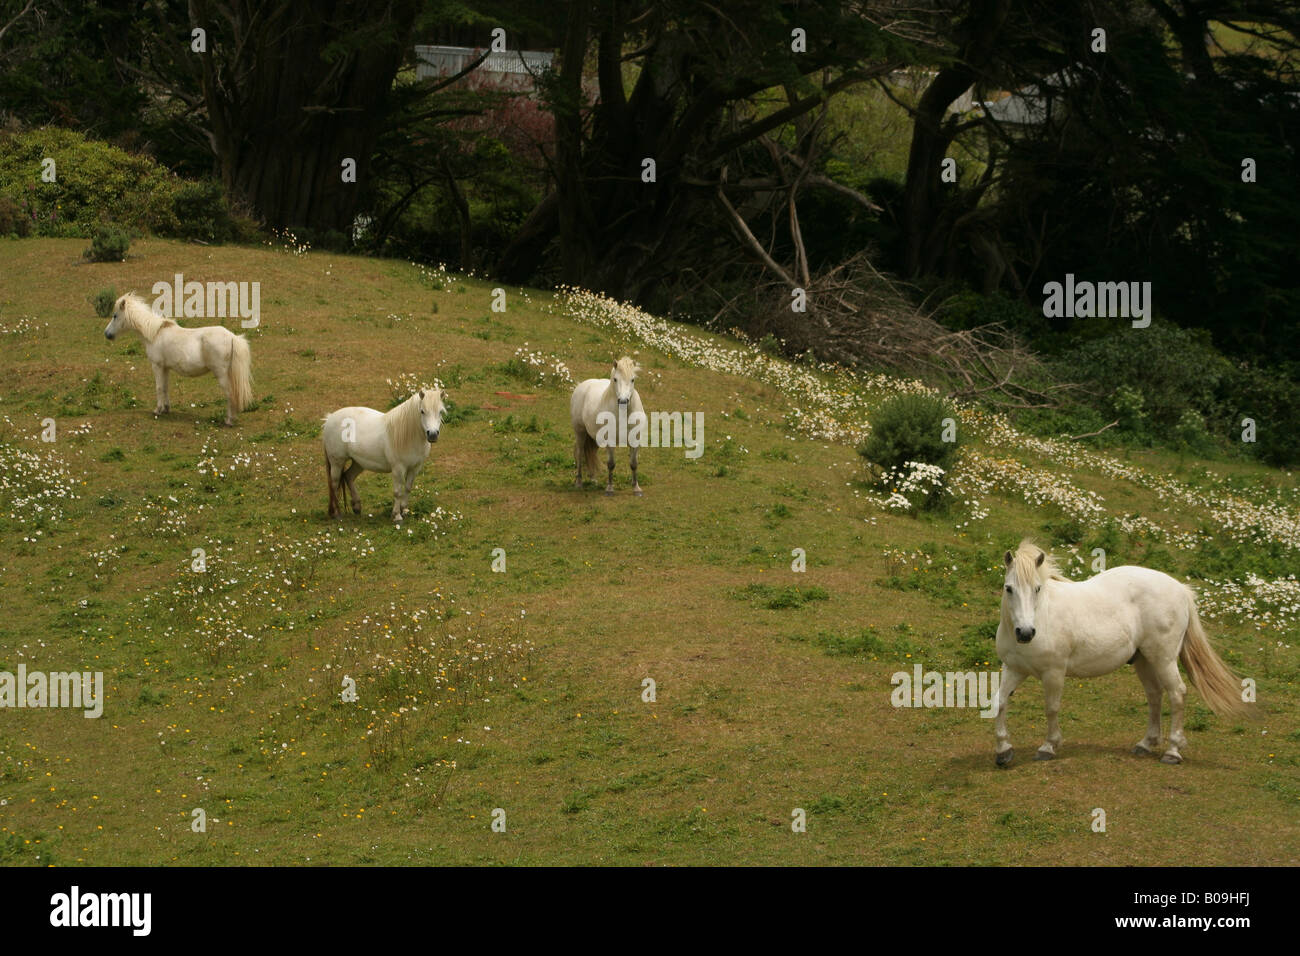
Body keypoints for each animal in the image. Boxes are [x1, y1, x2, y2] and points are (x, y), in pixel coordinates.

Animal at [103, 292, 253, 426]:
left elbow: (159, 387)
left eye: (115, 316)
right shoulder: (165, 368)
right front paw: (166, 409)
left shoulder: (157, 366)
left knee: (230, 394)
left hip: (221, 374)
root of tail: (232, 337)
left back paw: (229, 420)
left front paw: (157, 410)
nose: (107, 334)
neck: (155, 334)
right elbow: (165, 387)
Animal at [322, 389, 447, 522]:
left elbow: (407, 488)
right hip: (337, 462)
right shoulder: (398, 468)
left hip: (359, 462)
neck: (407, 435)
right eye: (422, 411)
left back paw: (357, 507)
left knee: (348, 476)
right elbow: (397, 491)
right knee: (334, 484)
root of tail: (329, 419)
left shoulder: (415, 468)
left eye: (440, 411)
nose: (432, 434)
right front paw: (397, 516)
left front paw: (404, 510)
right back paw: (336, 514)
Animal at [570, 356, 645, 495]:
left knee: (591, 453)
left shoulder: (635, 440)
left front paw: (636, 488)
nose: (623, 401)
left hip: (594, 437)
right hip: (580, 432)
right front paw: (609, 488)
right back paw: (579, 482)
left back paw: (593, 479)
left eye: (632, 379)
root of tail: (581, 386)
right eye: (615, 379)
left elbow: (634, 463)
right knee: (579, 454)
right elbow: (611, 464)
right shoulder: (610, 441)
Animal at [992, 540, 1245, 767]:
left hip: (1164, 659)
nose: (1025, 633)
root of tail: (1181, 589)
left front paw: (1048, 747)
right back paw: (1145, 744)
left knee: (1177, 694)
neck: (1041, 616)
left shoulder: (1053, 673)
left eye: (1037, 588)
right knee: (1155, 694)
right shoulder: (1014, 669)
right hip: (1144, 660)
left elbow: (1051, 708)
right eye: (1009, 588)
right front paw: (1003, 751)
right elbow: (1000, 702)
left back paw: (1172, 752)